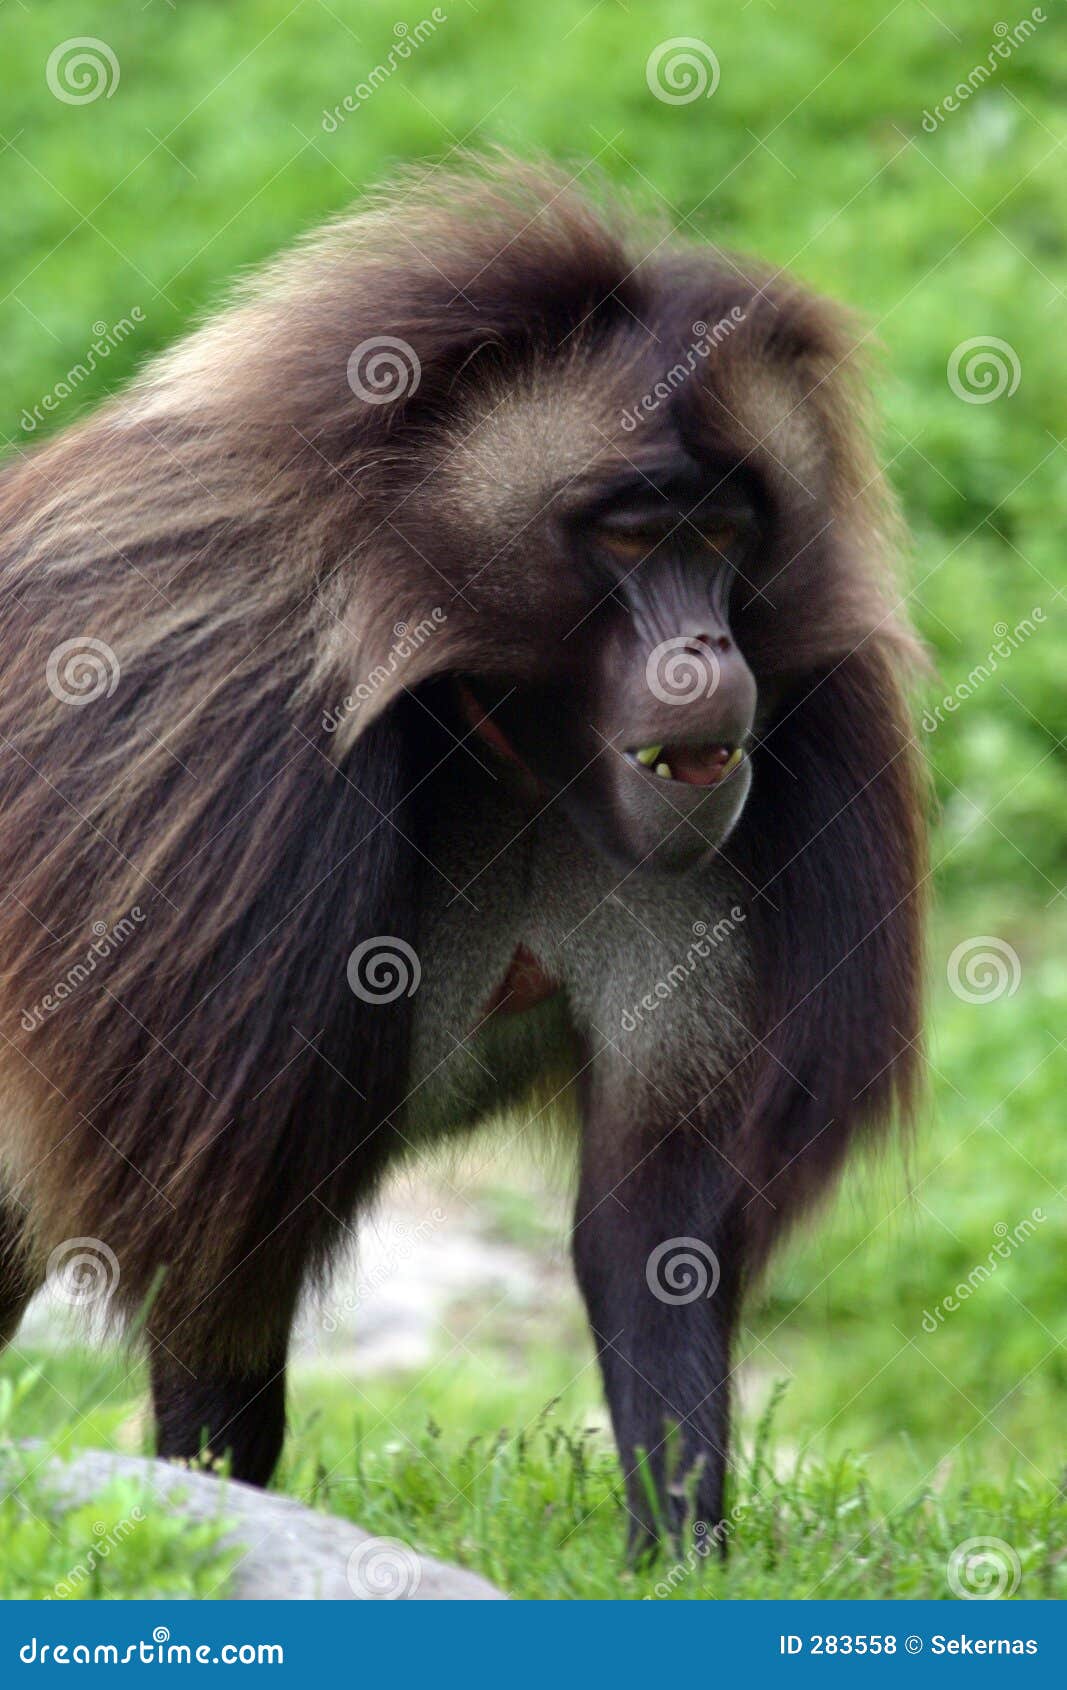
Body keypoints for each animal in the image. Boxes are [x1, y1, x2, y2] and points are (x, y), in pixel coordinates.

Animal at [0, 158, 924, 1556]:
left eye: (720, 531)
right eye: (632, 536)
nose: (709, 655)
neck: (500, 722)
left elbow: (651, 1230)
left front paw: (679, 1556)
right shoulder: (231, 779)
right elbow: (224, 1258)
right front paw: (207, 1526)